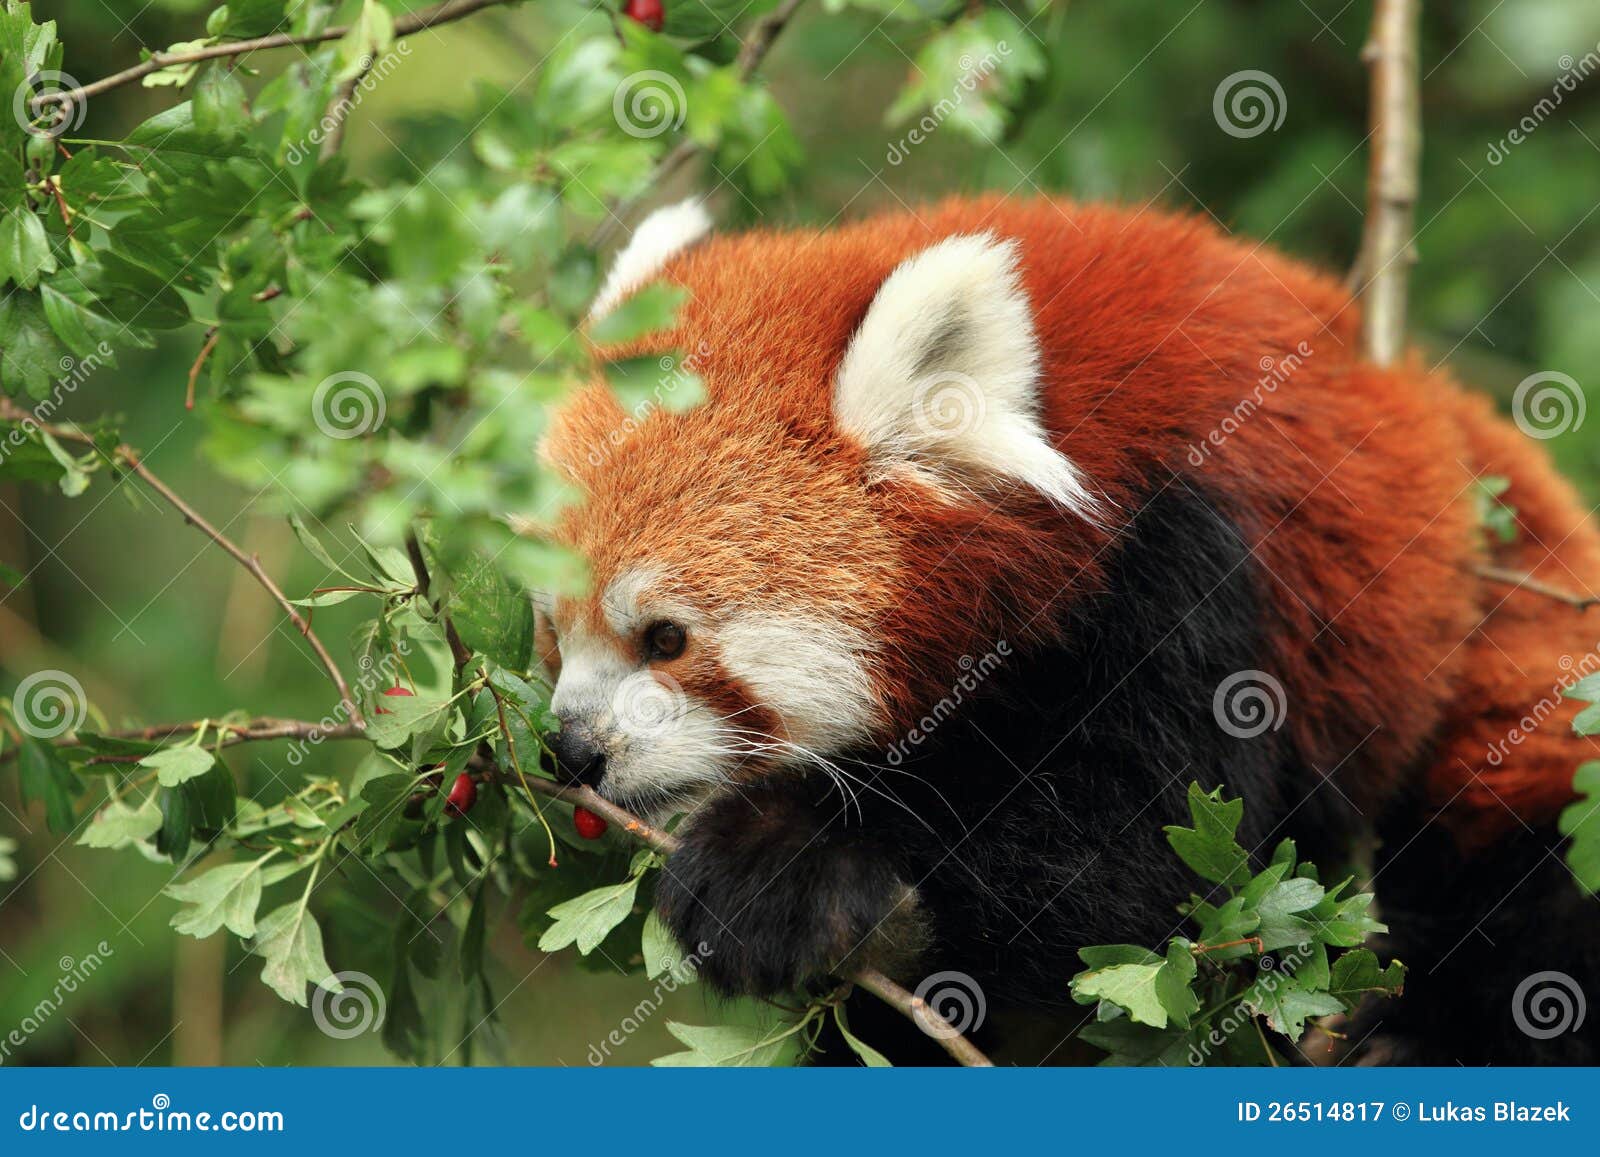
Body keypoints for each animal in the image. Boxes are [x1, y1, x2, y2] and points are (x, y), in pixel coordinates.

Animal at [534, 195, 1600, 1065]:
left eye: (665, 638)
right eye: (553, 626)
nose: (572, 750)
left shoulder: (1192, 559)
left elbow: (1140, 857)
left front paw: (792, 862)